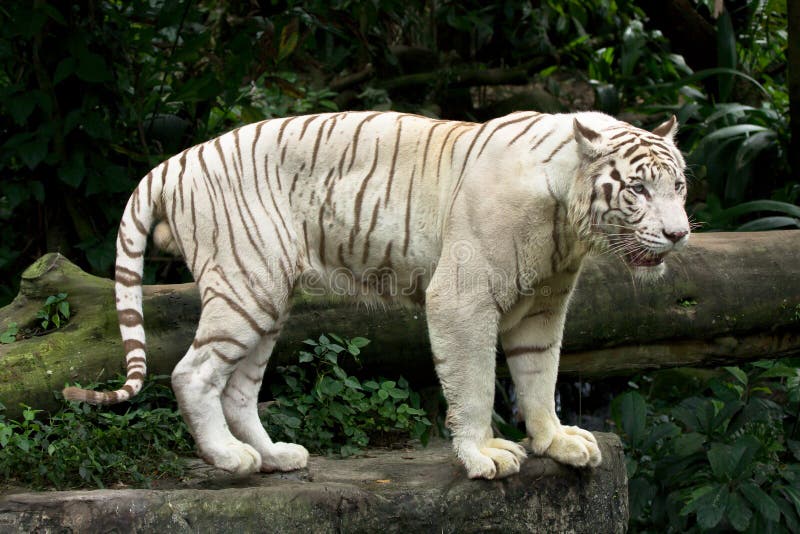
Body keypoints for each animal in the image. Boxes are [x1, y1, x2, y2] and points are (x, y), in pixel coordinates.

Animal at [63, 110, 690, 479]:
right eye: (637, 189)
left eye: (679, 185)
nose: (680, 234)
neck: (568, 220)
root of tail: (172, 163)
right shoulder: (462, 297)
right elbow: (476, 384)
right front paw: (483, 454)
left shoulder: (542, 306)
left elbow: (539, 377)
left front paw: (557, 441)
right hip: (247, 286)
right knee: (192, 374)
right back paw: (231, 459)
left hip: (266, 297)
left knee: (239, 389)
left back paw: (275, 457)